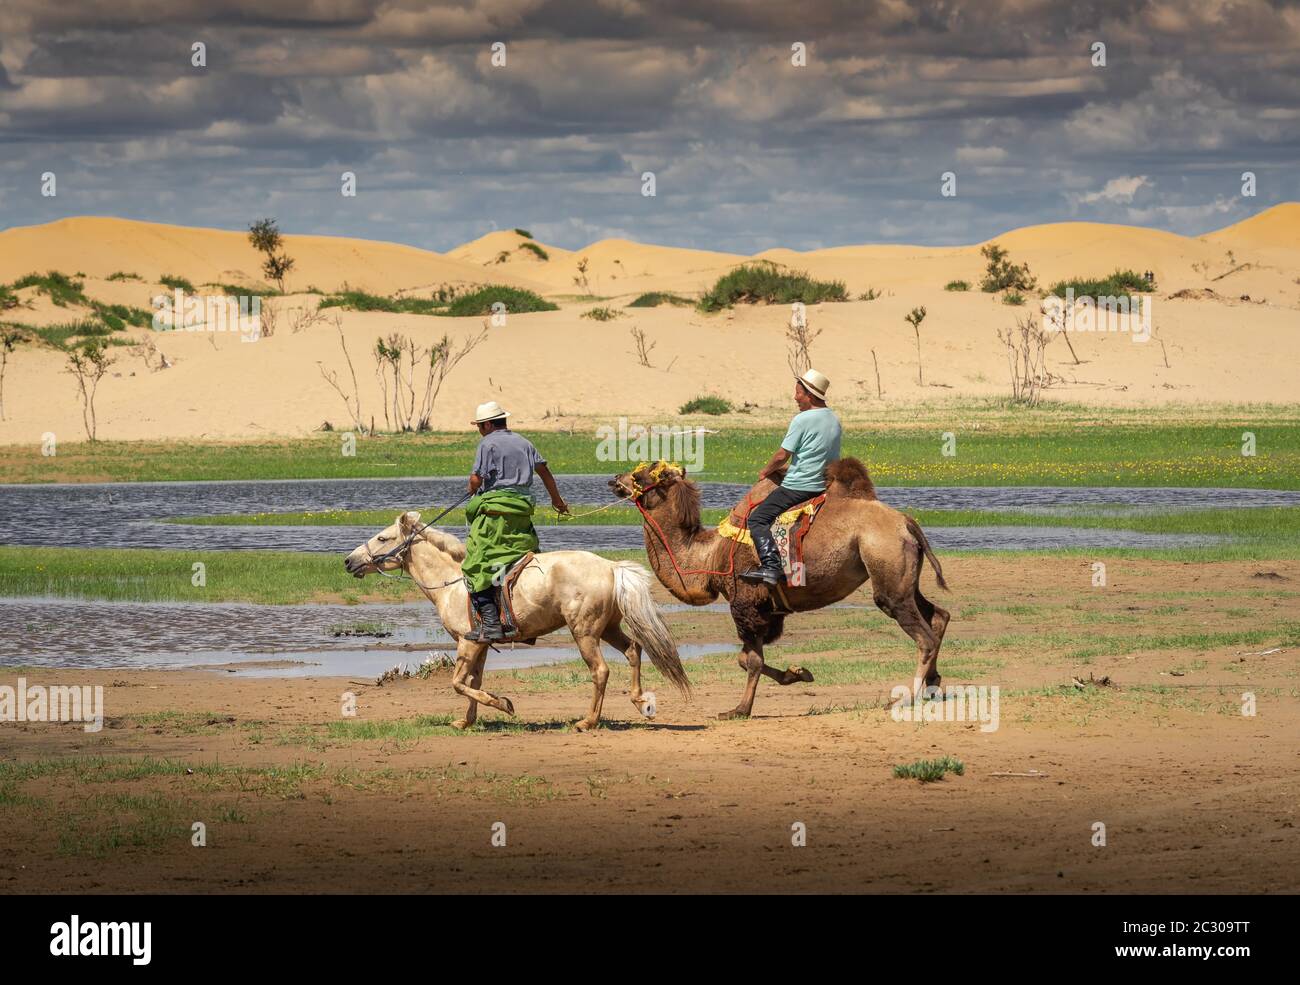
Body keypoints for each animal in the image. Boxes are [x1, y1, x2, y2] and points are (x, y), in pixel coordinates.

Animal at [344, 511, 691, 730]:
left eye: (383, 537)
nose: (348, 561)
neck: (452, 583)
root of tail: (611, 567)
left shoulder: (466, 643)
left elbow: (458, 683)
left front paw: (503, 704)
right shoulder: (481, 645)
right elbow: (472, 682)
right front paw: (466, 721)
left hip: (585, 632)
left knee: (601, 671)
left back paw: (588, 721)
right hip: (608, 628)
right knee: (634, 650)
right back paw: (640, 702)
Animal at [610, 459, 949, 719]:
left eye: (642, 473)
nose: (615, 479)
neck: (711, 555)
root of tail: (906, 522)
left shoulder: (746, 602)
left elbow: (751, 661)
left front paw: (739, 710)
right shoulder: (768, 611)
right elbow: (745, 659)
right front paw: (798, 673)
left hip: (885, 568)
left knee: (922, 634)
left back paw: (906, 697)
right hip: (903, 576)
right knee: (937, 614)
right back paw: (934, 683)